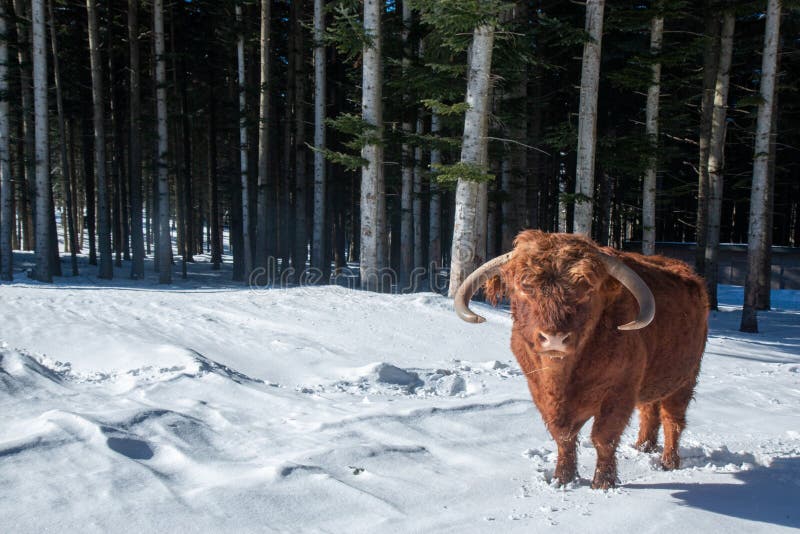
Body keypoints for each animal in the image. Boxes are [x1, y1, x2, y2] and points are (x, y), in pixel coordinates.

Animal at [454, 230, 708, 489]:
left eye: (587, 288)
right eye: (524, 286)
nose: (554, 338)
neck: (563, 377)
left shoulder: (620, 392)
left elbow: (604, 436)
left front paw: (603, 482)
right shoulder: (540, 393)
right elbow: (563, 437)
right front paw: (562, 479)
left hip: (685, 379)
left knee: (672, 419)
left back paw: (668, 462)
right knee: (649, 411)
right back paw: (643, 447)